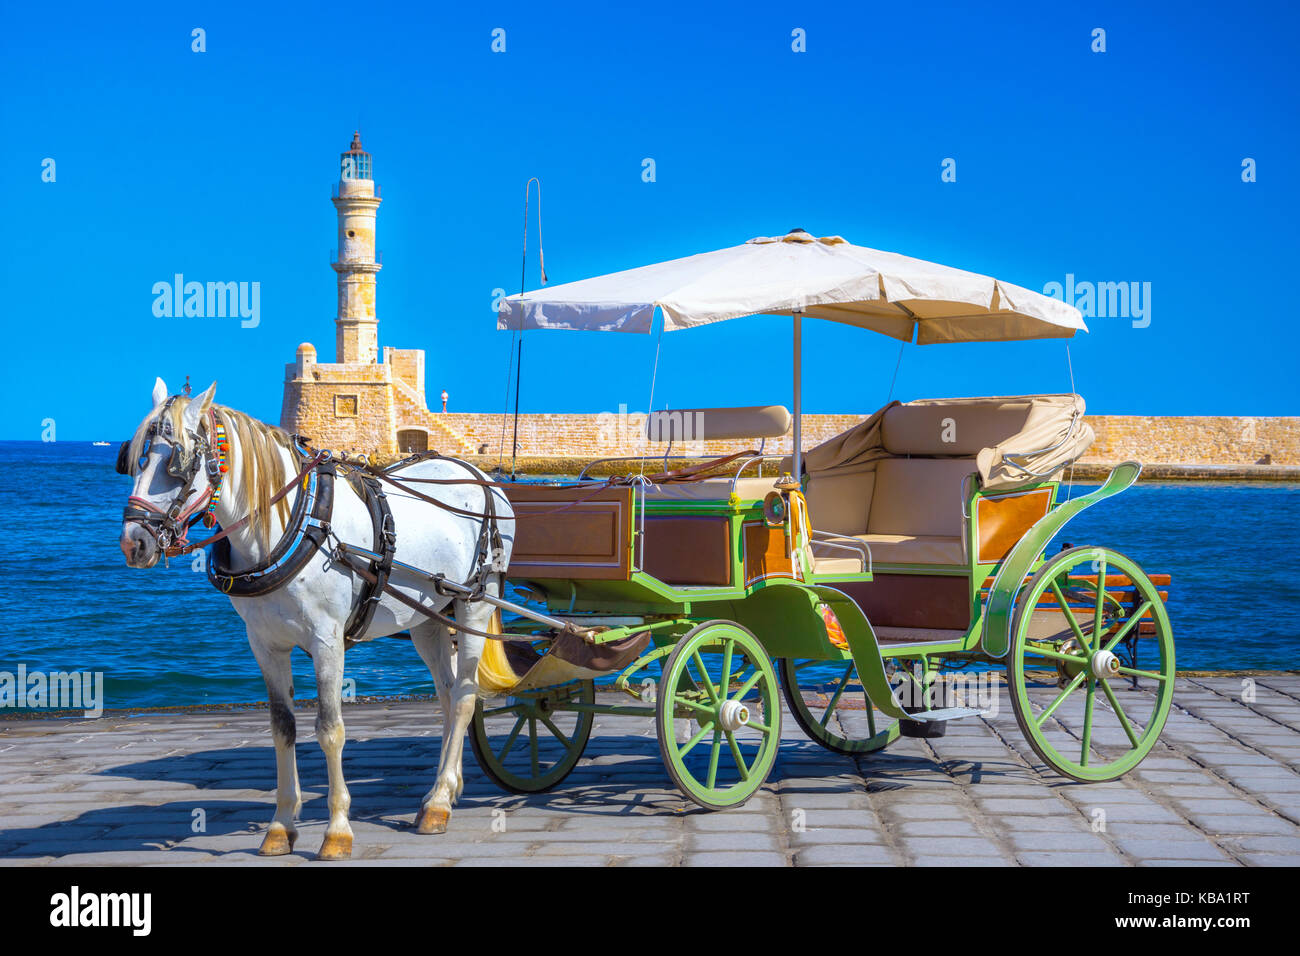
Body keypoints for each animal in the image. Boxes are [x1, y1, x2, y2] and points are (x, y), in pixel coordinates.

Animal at [118, 377, 514, 860]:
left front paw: (337, 830)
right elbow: (281, 729)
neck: (292, 524)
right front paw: (281, 826)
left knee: (465, 697)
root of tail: (483, 476)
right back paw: (443, 791)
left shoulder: (327, 642)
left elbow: (329, 730)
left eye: (180, 464)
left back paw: (439, 802)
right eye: (137, 458)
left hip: (477, 603)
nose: (133, 541)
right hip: (429, 617)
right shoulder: (265, 645)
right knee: (448, 693)